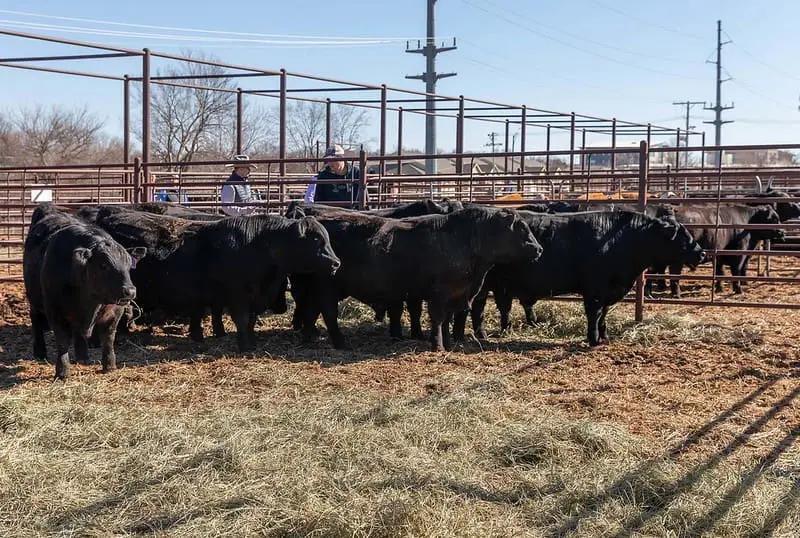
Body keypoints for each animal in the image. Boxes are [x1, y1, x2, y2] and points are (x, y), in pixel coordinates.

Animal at [23, 206, 146, 379]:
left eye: (129, 265)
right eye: (103, 265)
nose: (129, 291)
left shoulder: (115, 311)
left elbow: (108, 338)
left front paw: (109, 366)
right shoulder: (55, 311)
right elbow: (62, 342)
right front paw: (62, 372)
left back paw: (83, 356)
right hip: (33, 298)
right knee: (35, 319)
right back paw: (40, 352)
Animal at [287, 206, 542, 351]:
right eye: (521, 228)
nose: (539, 249)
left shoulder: (455, 294)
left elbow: (448, 320)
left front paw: (448, 343)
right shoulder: (439, 293)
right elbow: (438, 319)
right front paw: (438, 345)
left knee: (312, 310)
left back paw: (310, 337)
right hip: (327, 286)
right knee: (328, 313)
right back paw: (340, 343)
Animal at [453, 210, 705, 346]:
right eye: (682, 236)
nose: (701, 253)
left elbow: (604, 315)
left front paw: (604, 336)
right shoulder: (594, 289)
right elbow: (594, 314)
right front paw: (592, 339)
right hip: (481, 284)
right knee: (476, 307)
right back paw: (476, 335)